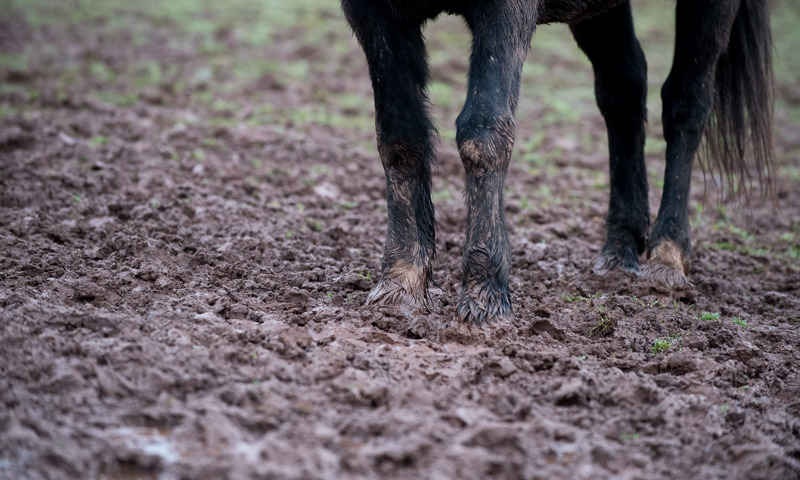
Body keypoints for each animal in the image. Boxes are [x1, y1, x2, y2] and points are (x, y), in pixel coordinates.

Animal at [340, 0, 774, 325]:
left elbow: (483, 130)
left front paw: (485, 294)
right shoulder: (373, 11)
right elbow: (400, 136)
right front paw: (401, 282)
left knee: (687, 101)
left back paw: (668, 255)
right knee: (624, 89)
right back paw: (620, 250)